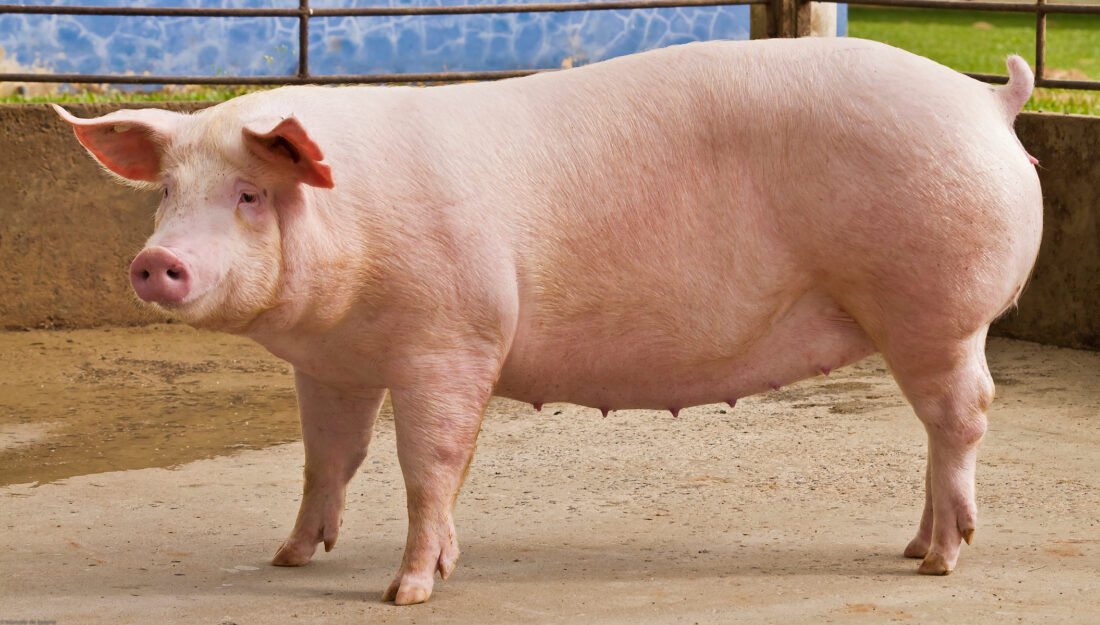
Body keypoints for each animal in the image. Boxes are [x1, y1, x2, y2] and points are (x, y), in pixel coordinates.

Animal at [55, 36, 1042, 605]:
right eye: (168, 192)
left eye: (251, 193)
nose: (157, 260)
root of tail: (988, 100)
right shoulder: (332, 360)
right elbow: (329, 457)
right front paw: (290, 557)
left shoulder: (454, 334)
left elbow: (430, 461)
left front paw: (406, 590)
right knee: (938, 428)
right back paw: (914, 546)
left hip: (936, 305)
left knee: (965, 415)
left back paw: (942, 561)